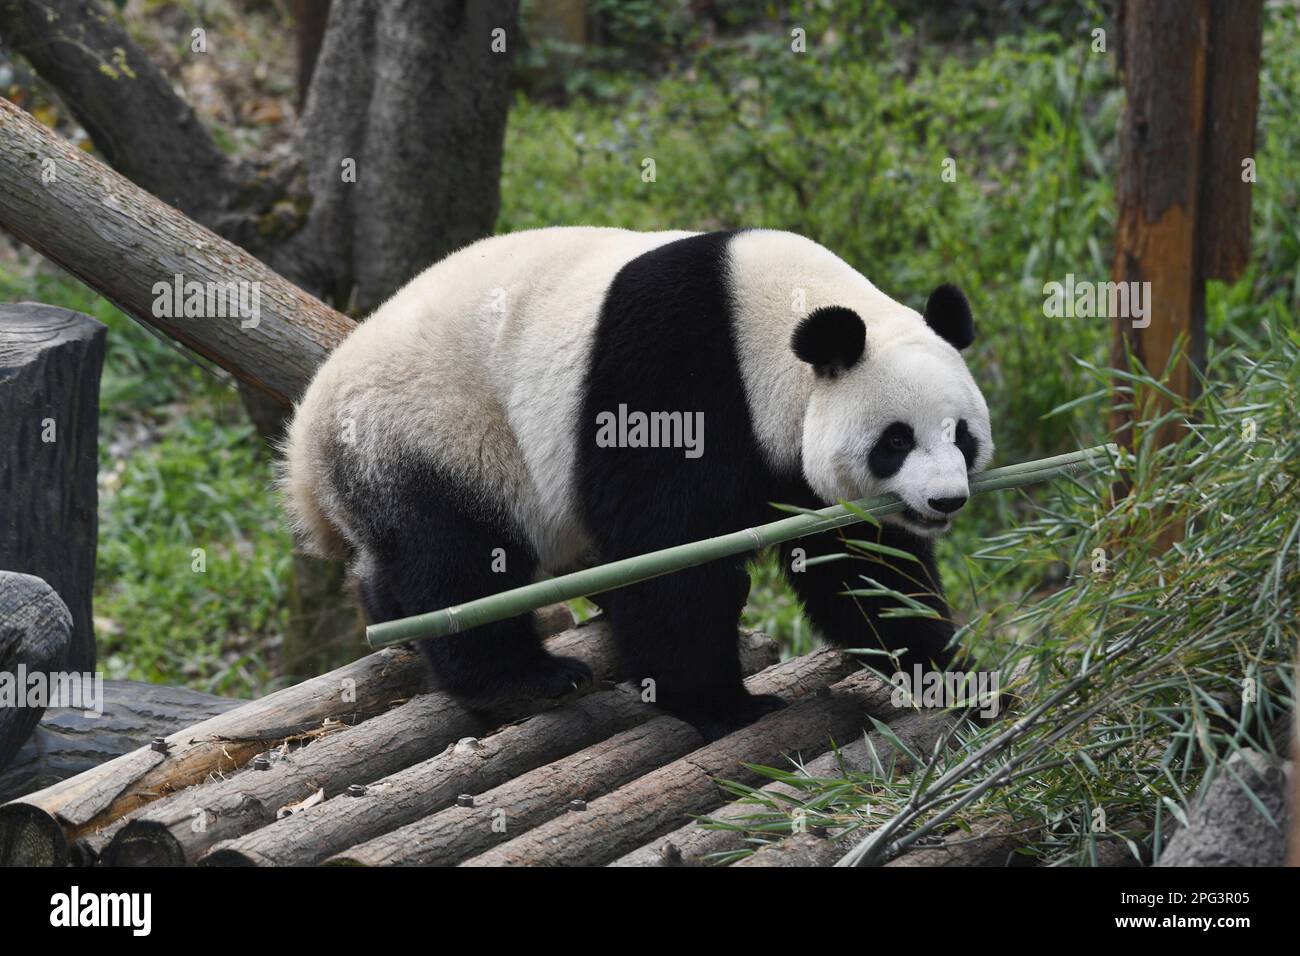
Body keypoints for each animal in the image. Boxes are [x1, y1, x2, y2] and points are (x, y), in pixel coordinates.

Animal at [283, 227, 993, 739]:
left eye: (961, 434)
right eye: (896, 440)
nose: (945, 500)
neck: (765, 324)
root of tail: (306, 452)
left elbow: (861, 569)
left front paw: (957, 678)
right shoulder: (674, 379)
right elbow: (666, 555)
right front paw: (722, 705)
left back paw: (391, 613)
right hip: (433, 432)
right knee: (459, 564)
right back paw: (528, 680)